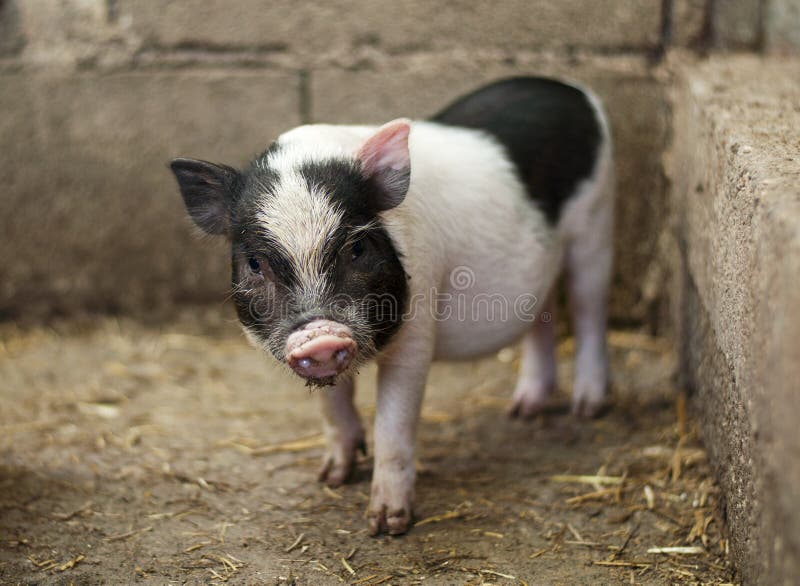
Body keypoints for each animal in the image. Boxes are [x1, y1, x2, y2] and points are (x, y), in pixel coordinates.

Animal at [169, 76, 614, 536]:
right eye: (255, 263)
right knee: (543, 317)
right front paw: (330, 478)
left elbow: (393, 426)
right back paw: (522, 411)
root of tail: (572, 88)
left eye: (358, 248)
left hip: (597, 223)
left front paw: (387, 525)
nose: (320, 336)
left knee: (589, 311)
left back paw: (587, 409)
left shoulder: (417, 333)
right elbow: (333, 407)